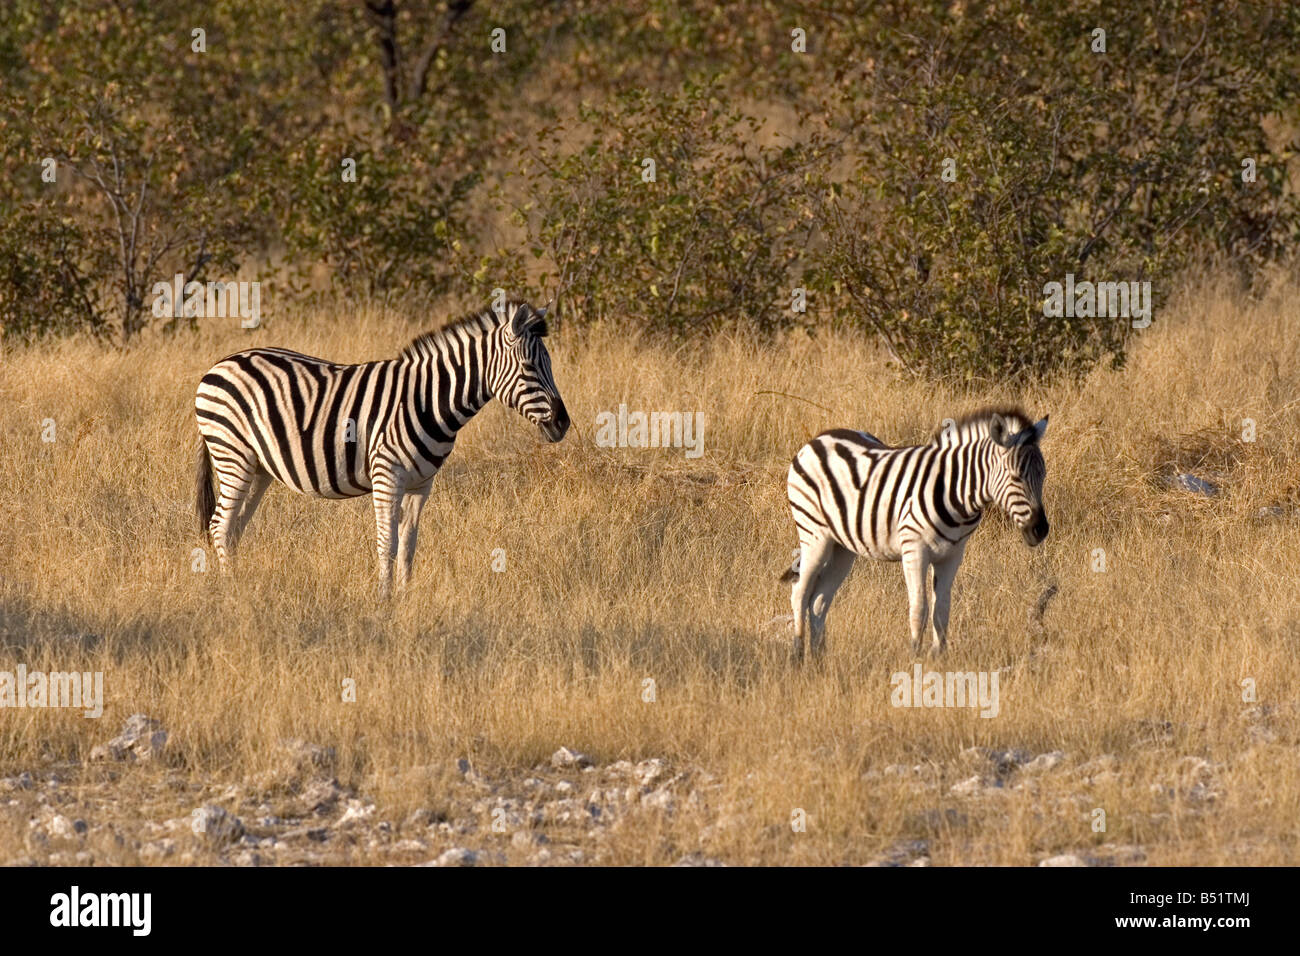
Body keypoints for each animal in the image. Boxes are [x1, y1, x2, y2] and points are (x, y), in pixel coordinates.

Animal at [194, 301, 569, 596]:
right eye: (530, 367)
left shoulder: (421, 485)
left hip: (259, 466)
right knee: (220, 526)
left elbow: (408, 545)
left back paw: (239, 583)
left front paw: (405, 597)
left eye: (551, 365)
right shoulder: (387, 475)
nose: (563, 423)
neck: (427, 400)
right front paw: (384, 601)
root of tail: (220, 363)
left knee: (234, 528)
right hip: (233, 455)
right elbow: (386, 542)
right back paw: (231, 592)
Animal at [781, 407, 1049, 660]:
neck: (954, 492)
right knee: (799, 592)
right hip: (814, 534)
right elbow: (919, 607)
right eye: (1016, 477)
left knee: (818, 600)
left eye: (1043, 476)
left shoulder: (952, 556)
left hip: (842, 547)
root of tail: (818, 439)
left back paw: (819, 660)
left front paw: (939, 658)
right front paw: (915, 657)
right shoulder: (914, 549)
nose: (1041, 530)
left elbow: (941, 610)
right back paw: (797, 656)